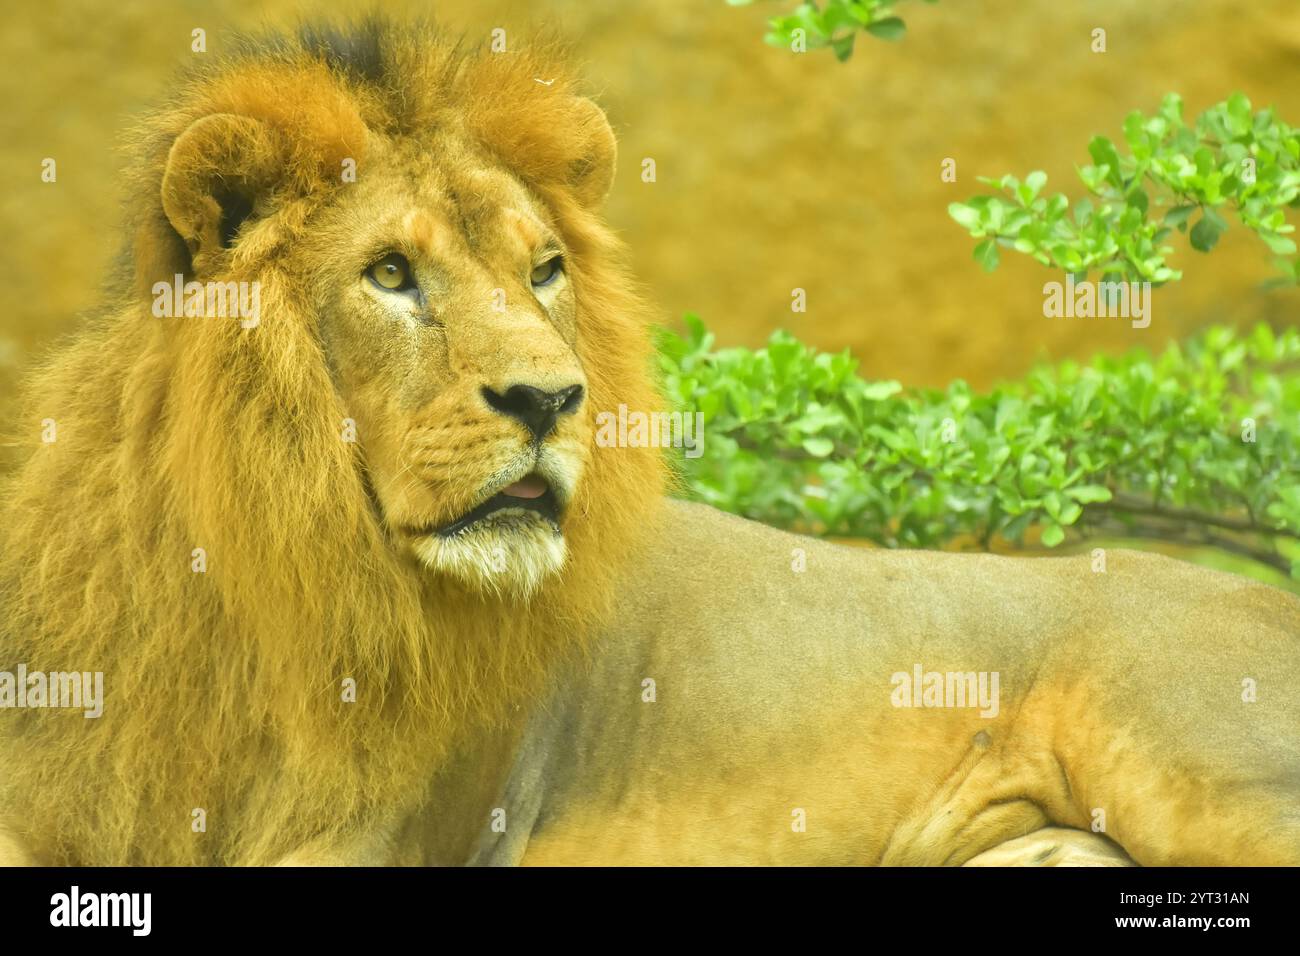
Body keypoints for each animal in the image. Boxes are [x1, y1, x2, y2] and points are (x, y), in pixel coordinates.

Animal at [1, 18, 1297, 867]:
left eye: (543, 269)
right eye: (389, 274)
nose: (551, 398)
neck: (242, 588)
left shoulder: (379, 837)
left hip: (1197, 759)